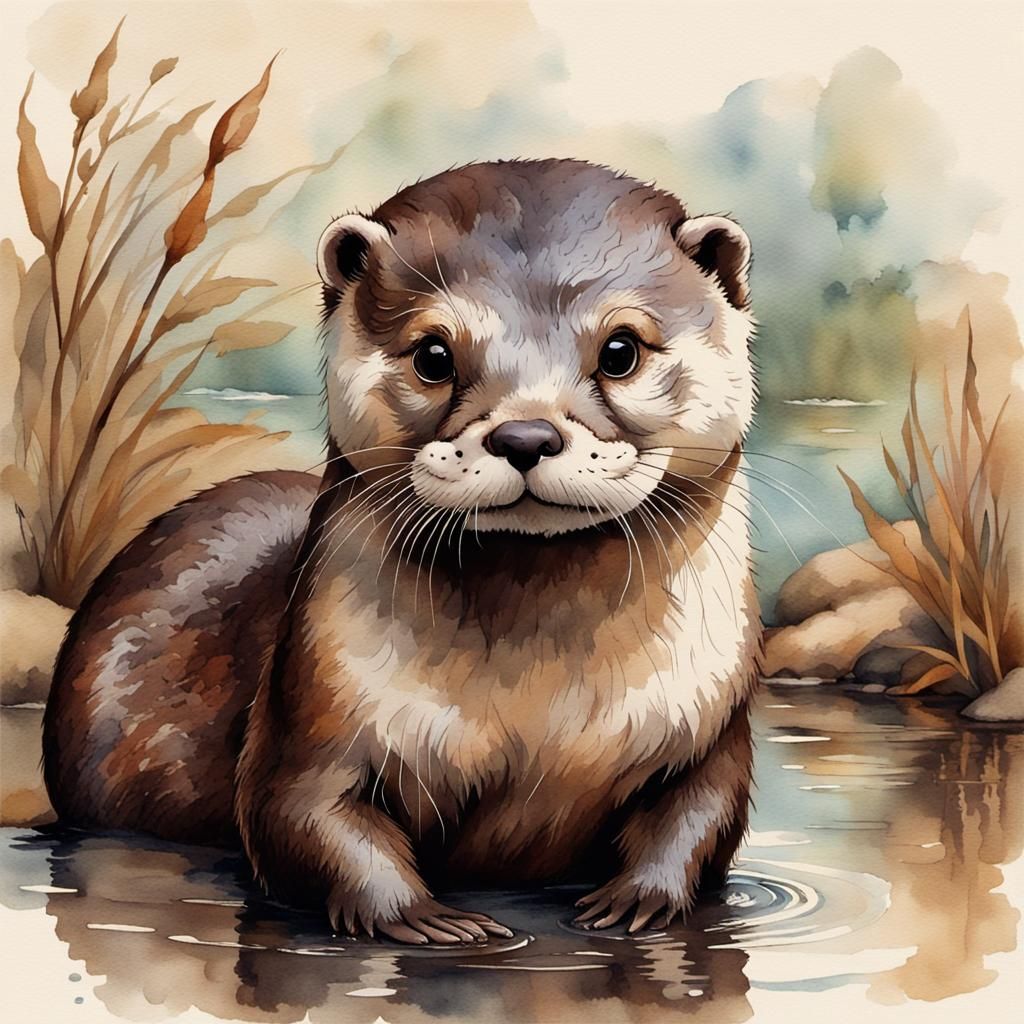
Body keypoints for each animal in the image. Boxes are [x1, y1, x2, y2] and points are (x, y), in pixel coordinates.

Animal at [43, 158, 762, 945]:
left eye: (621, 350)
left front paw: (639, 901)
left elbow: (700, 812)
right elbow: (301, 813)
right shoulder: (309, 709)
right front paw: (430, 920)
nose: (526, 435)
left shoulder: (710, 718)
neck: (541, 715)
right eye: (434, 354)